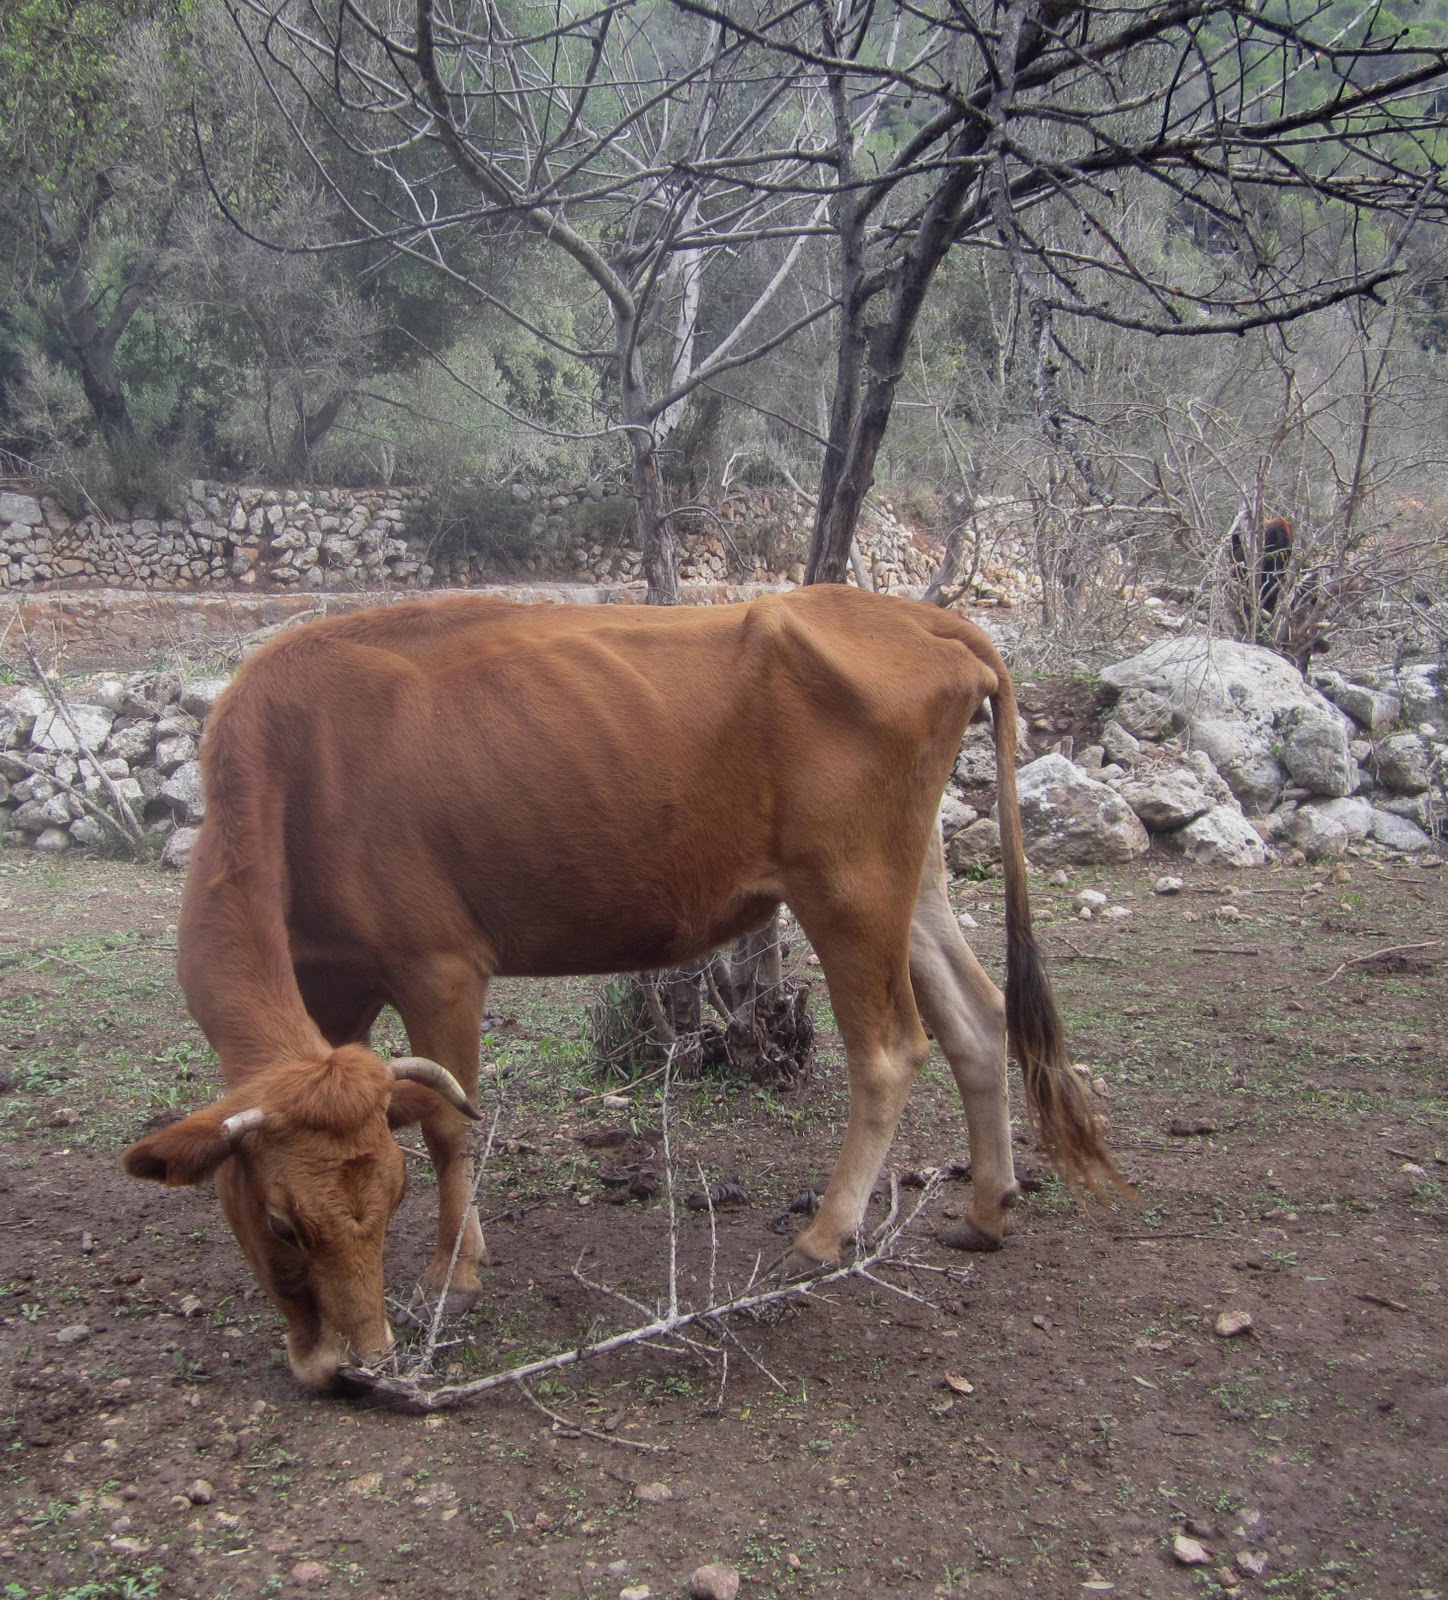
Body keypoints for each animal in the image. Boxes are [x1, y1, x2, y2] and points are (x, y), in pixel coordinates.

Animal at [121, 586, 1123, 1390]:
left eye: (387, 1204)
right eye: (282, 1224)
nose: (355, 1366)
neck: (297, 768)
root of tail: (920, 616)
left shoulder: (437, 964)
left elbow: (450, 1124)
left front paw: (455, 1273)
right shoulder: (335, 990)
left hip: (849, 886)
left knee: (890, 1049)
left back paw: (825, 1234)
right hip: (912, 879)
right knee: (979, 1019)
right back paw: (986, 1211)